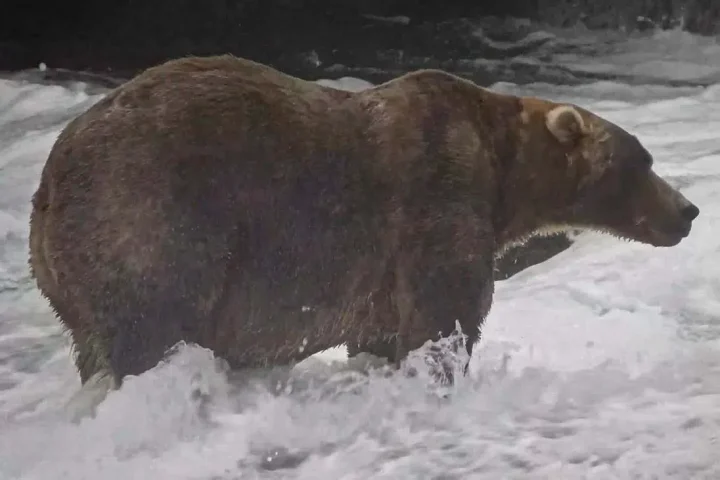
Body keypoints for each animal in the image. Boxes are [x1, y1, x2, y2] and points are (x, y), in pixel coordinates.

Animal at [29, 54, 699, 393]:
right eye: (643, 160)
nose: (688, 210)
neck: (503, 171)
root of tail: (49, 182)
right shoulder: (436, 198)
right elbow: (444, 316)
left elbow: (380, 333)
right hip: (151, 217)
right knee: (152, 325)